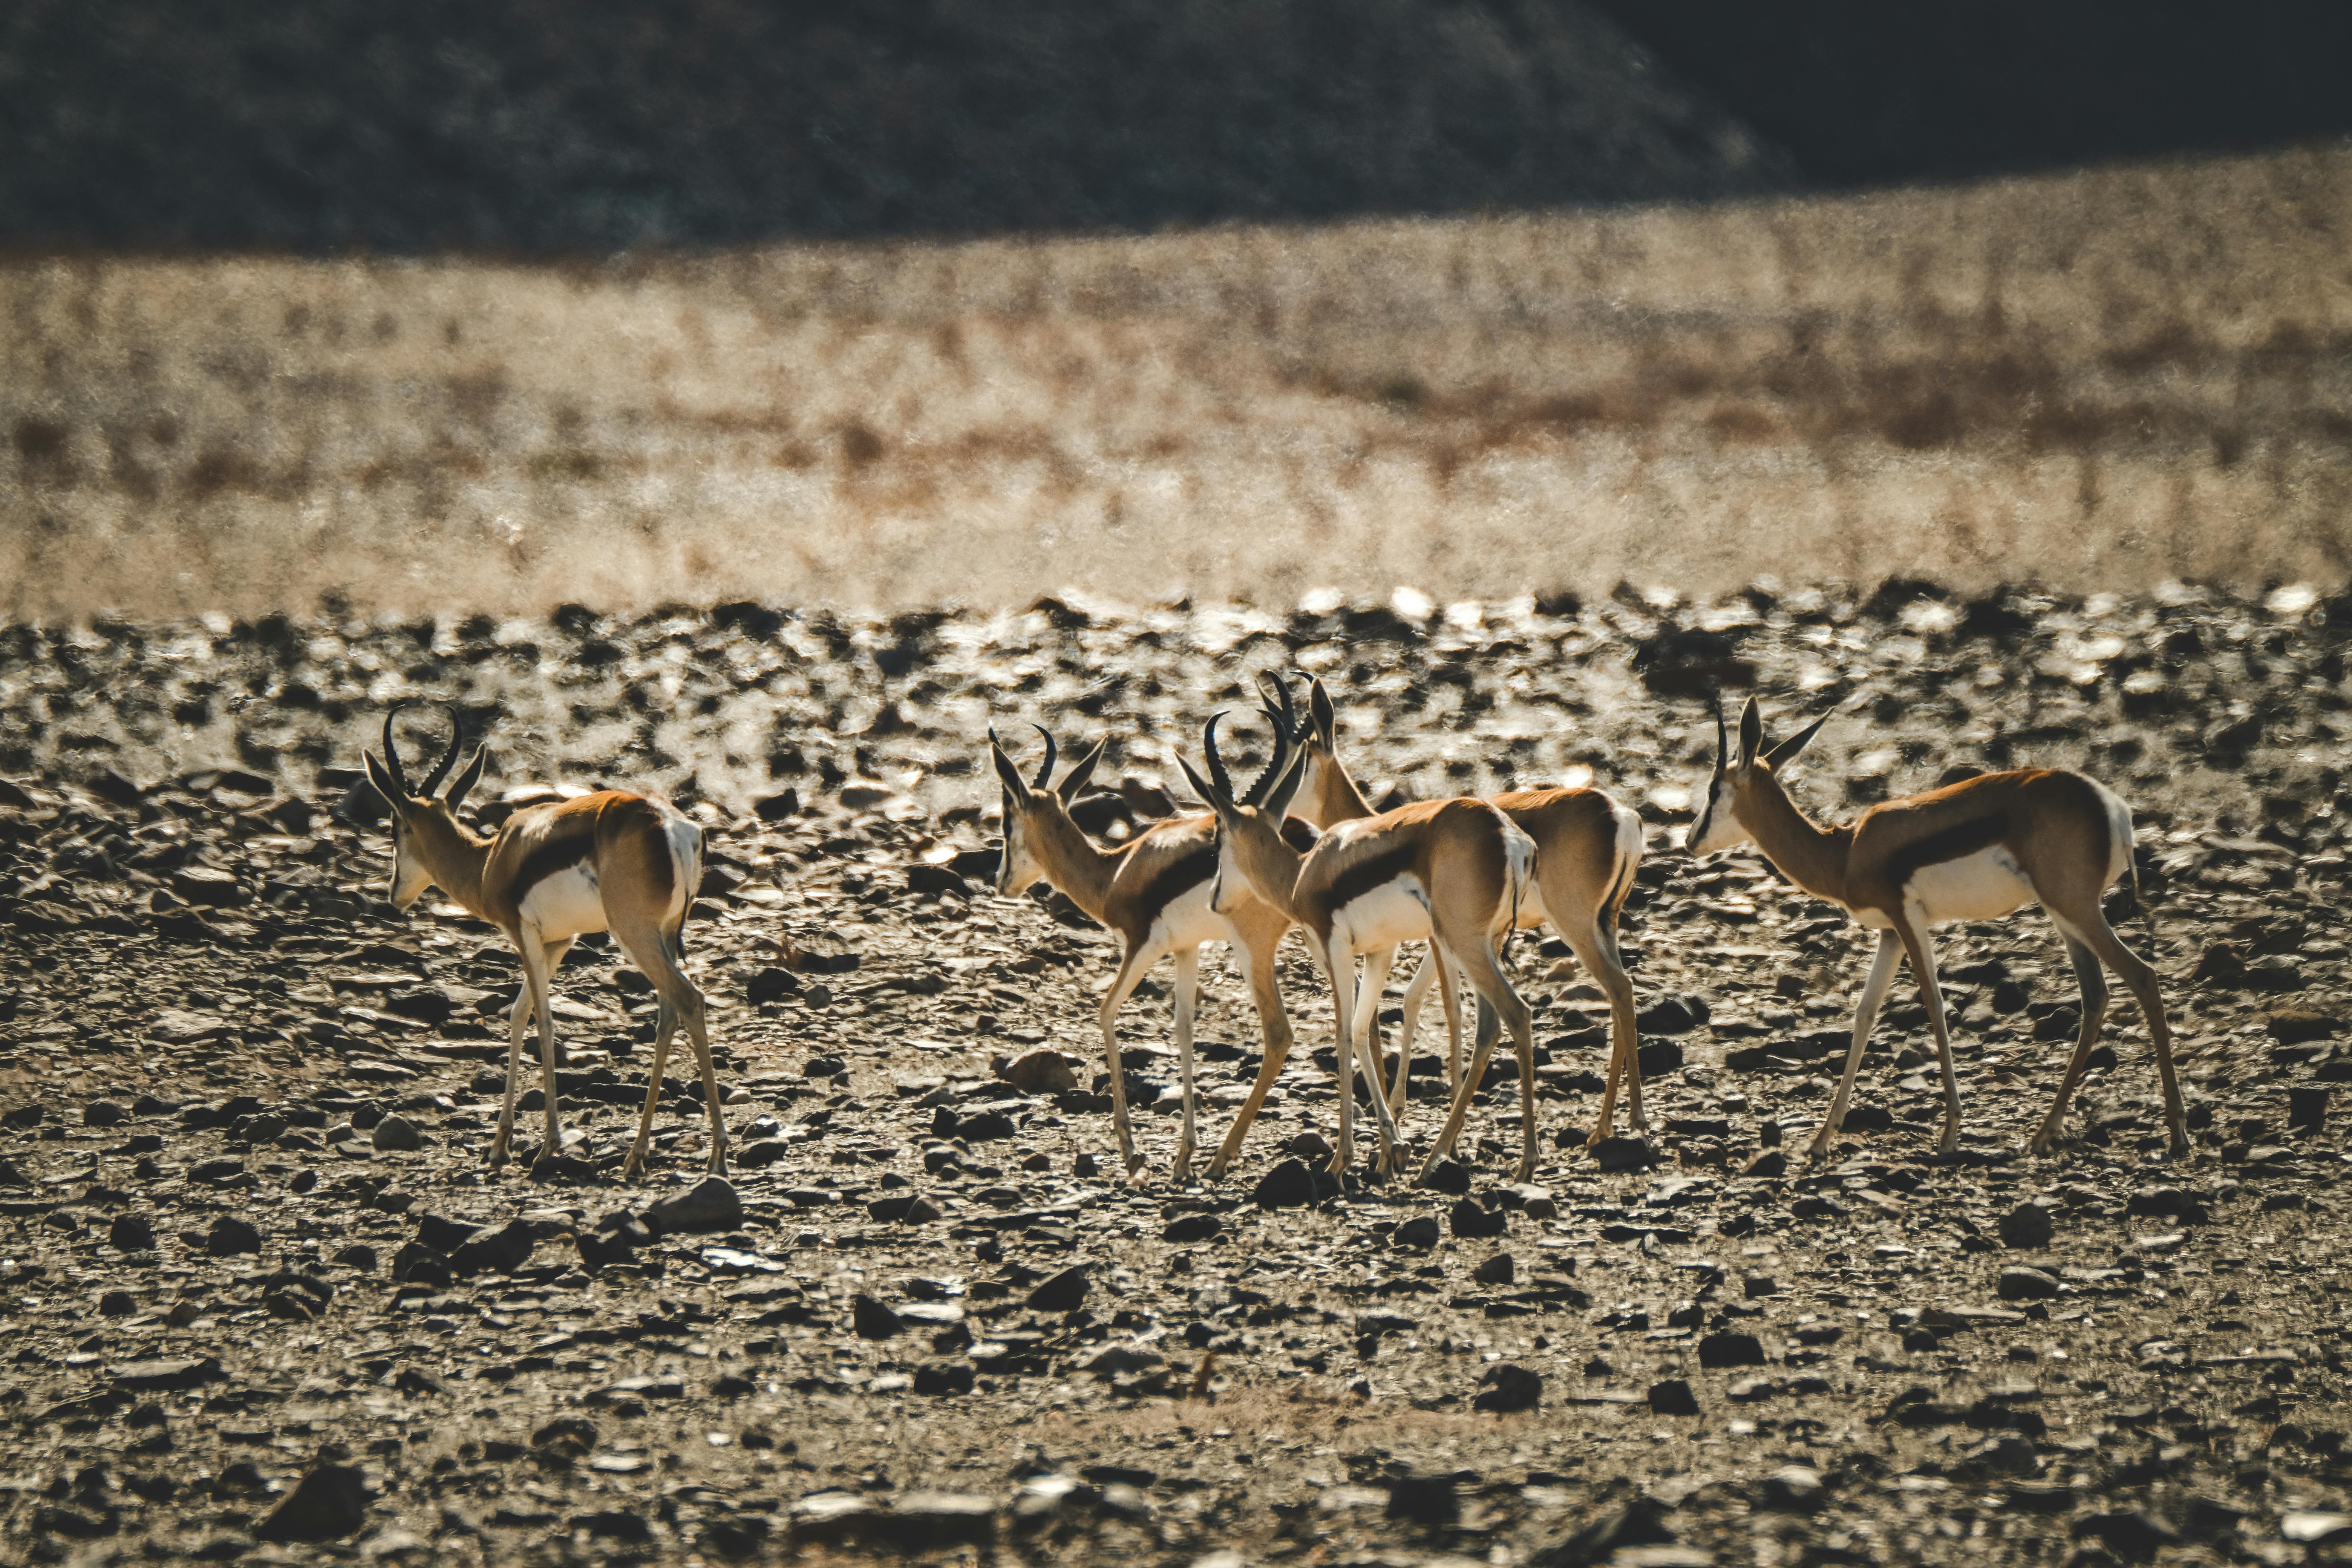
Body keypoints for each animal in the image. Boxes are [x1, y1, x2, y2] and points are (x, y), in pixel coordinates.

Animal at [361, 704, 725, 1181]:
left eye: (394, 828)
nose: (394, 894)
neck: (492, 861)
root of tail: (676, 829)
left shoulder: (524, 934)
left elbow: (544, 1021)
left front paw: (548, 1145)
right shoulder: (558, 942)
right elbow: (519, 1015)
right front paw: (500, 1146)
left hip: (634, 933)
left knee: (690, 999)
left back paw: (716, 1154)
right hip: (661, 933)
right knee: (669, 1013)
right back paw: (637, 1154)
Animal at [989, 725, 1304, 1184]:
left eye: (1005, 820)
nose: (1001, 881)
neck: (1114, 873)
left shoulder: (1141, 945)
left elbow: (1105, 1012)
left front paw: (1133, 1154)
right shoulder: (1187, 949)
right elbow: (1185, 1029)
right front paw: (1183, 1157)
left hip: (1253, 947)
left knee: (1280, 1032)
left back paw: (1222, 1159)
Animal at [1179, 712, 1543, 1181]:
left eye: (1217, 839)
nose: (1215, 900)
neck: (1304, 873)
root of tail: (1510, 839)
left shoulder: (1333, 945)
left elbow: (1342, 1033)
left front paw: (1342, 1158)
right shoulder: (1380, 951)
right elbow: (1361, 1027)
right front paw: (1392, 1148)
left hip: (1464, 943)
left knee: (1518, 1013)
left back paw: (1524, 1161)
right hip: (1486, 944)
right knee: (1490, 1027)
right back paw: (1436, 1157)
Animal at [1263, 673, 1650, 1145]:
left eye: (1297, 763)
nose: (1263, 807)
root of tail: (1623, 816)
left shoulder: (1441, 937)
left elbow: (1445, 1007)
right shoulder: (1443, 940)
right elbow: (1414, 999)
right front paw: (1402, 1109)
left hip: (1573, 926)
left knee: (1616, 989)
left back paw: (1624, 1122)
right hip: (1603, 925)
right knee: (1621, 994)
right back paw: (1610, 1124)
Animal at [1684, 696, 2186, 1163]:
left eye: (1713, 788)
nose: (1689, 840)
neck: (1845, 853)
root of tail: (2112, 808)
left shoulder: (1907, 917)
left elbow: (1933, 1004)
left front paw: (1949, 1133)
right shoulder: (1890, 932)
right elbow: (1865, 1012)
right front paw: (1823, 1137)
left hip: (2076, 909)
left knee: (2143, 976)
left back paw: (2177, 1133)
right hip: (2066, 916)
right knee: (2097, 995)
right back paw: (2045, 1131)